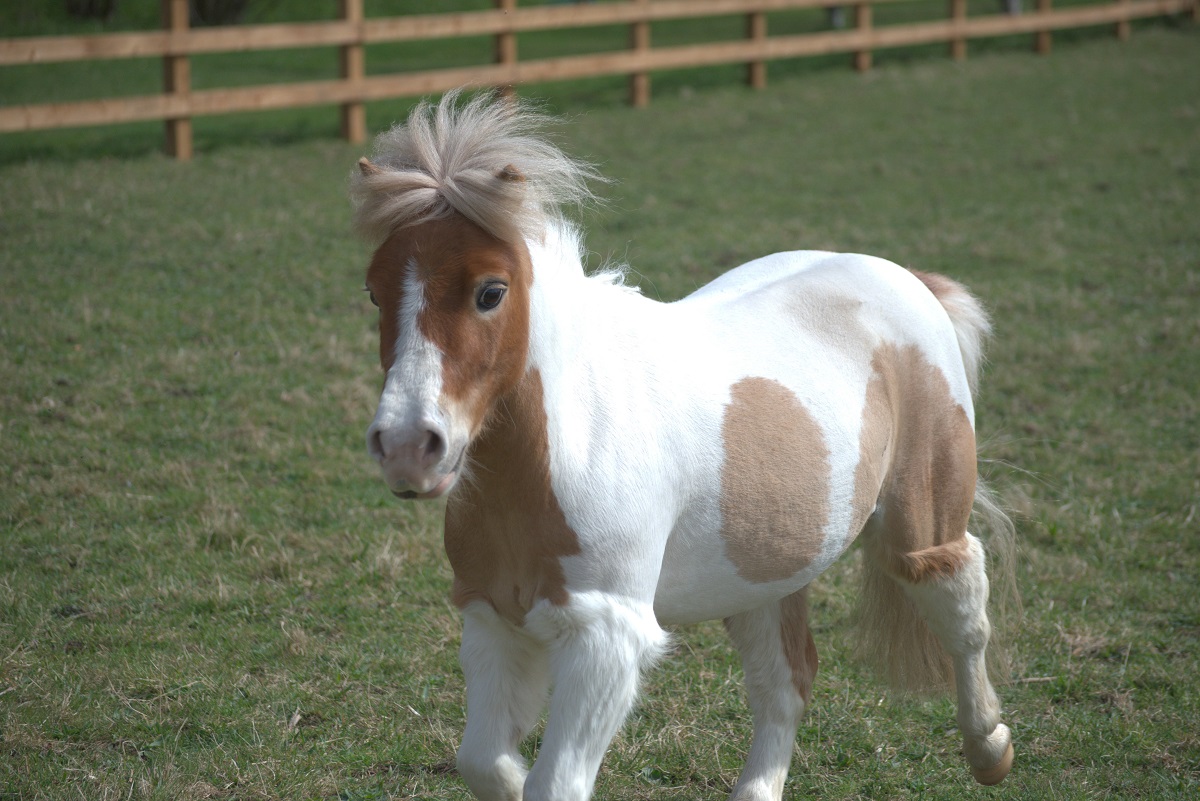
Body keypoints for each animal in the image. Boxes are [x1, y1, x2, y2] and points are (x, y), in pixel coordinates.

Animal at [350, 90, 1015, 801]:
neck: (569, 446)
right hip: (764, 570)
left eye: (490, 292)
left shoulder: (606, 634)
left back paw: (991, 749)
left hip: (921, 522)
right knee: (786, 682)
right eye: (374, 291)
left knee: (961, 604)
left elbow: (553, 784)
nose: (407, 446)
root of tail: (907, 278)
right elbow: (485, 762)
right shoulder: (493, 618)